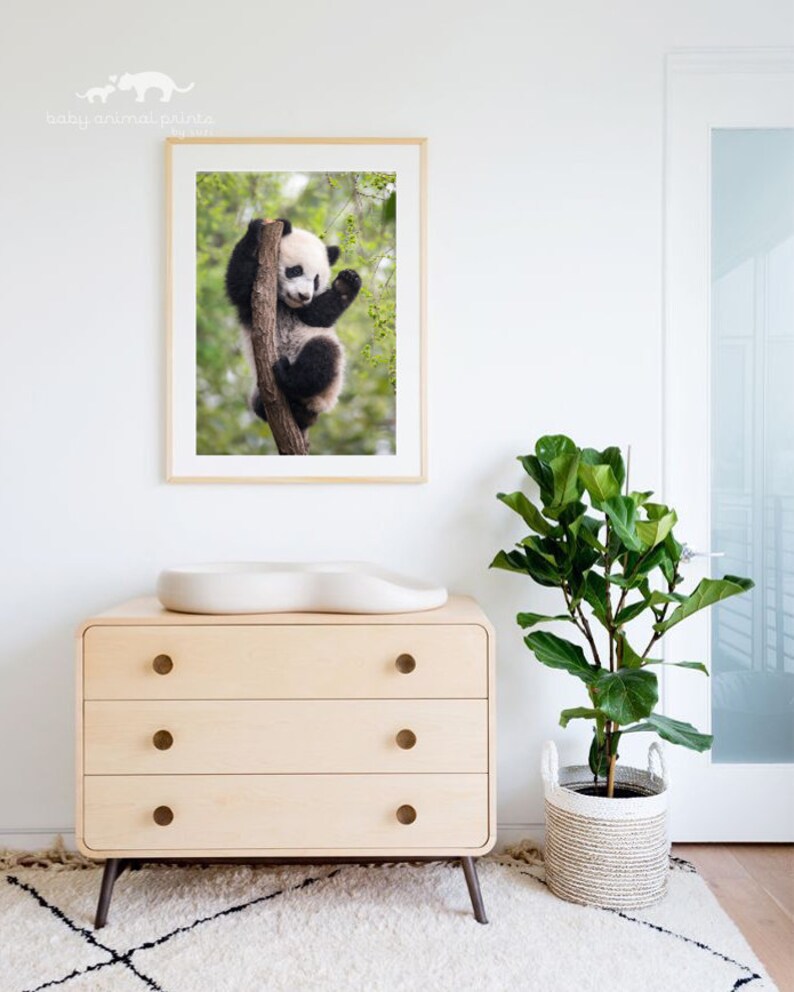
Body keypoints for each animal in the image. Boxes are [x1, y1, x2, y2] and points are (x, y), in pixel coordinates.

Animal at [225, 218, 361, 431]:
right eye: (296, 270)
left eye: (316, 281)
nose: (303, 296)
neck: (285, 304)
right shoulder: (253, 302)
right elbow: (239, 283)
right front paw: (256, 229)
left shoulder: (307, 312)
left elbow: (319, 315)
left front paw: (346, 284)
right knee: (257, 403)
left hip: (327, 385)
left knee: (321, 356)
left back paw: (287, 379)